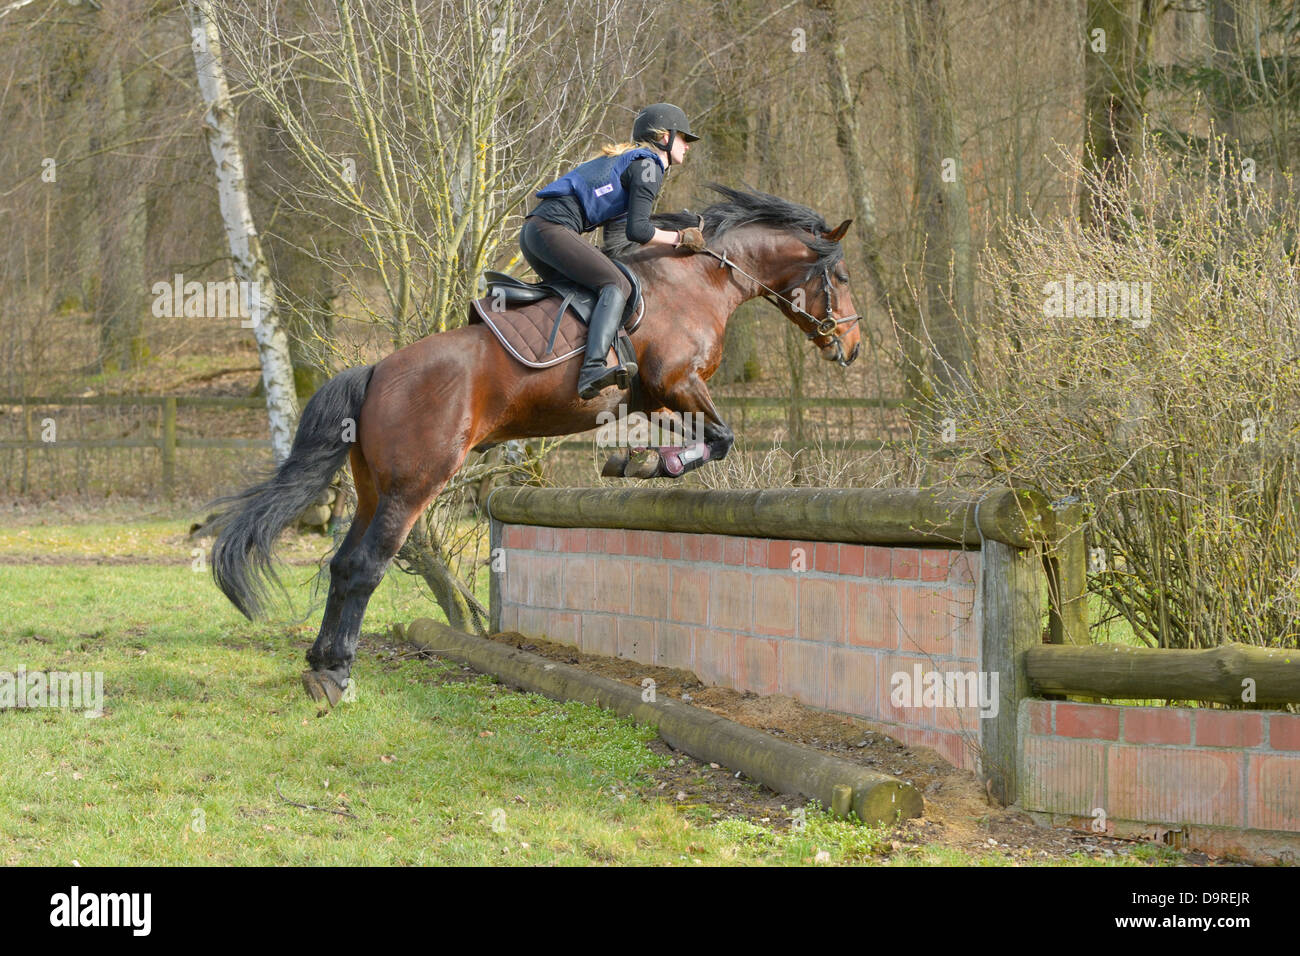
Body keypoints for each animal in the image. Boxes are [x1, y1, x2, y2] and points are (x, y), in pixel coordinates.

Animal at [209, 185, 862, 705]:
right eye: (843, 278)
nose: (852, 349)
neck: (699, 280)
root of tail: (374, 371)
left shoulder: (654, 396)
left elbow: (690, 433)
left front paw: (634, 461)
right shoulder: (678, 382)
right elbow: (722, 438)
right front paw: (657, 464)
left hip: (373, 488)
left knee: (344, 563)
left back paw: (321, 664)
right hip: (416, 482)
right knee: (368, 565)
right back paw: (338, 675)